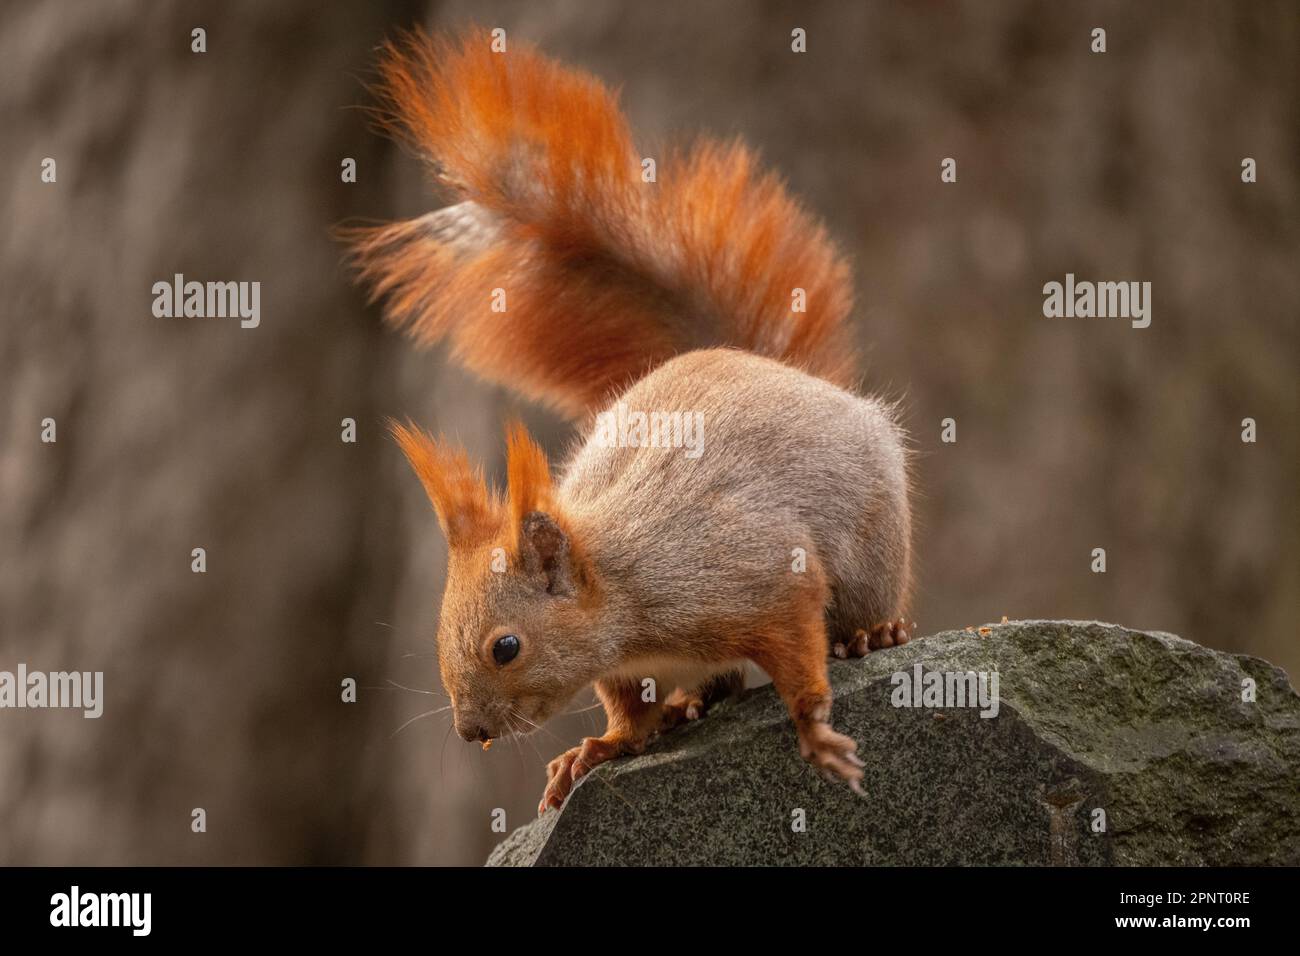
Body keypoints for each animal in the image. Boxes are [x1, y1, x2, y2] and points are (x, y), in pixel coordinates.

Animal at [341, 29, 914, 814]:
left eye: (506, 647)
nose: (470, 731)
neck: (620, 598)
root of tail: (786, 372)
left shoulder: (746, 576)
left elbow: (795, 644)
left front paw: (814, 727)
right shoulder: (627, 667)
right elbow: (627, 712)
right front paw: (599, 748)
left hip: (875, 540)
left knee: (865, 599)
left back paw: (871, 634)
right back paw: (691, 703)